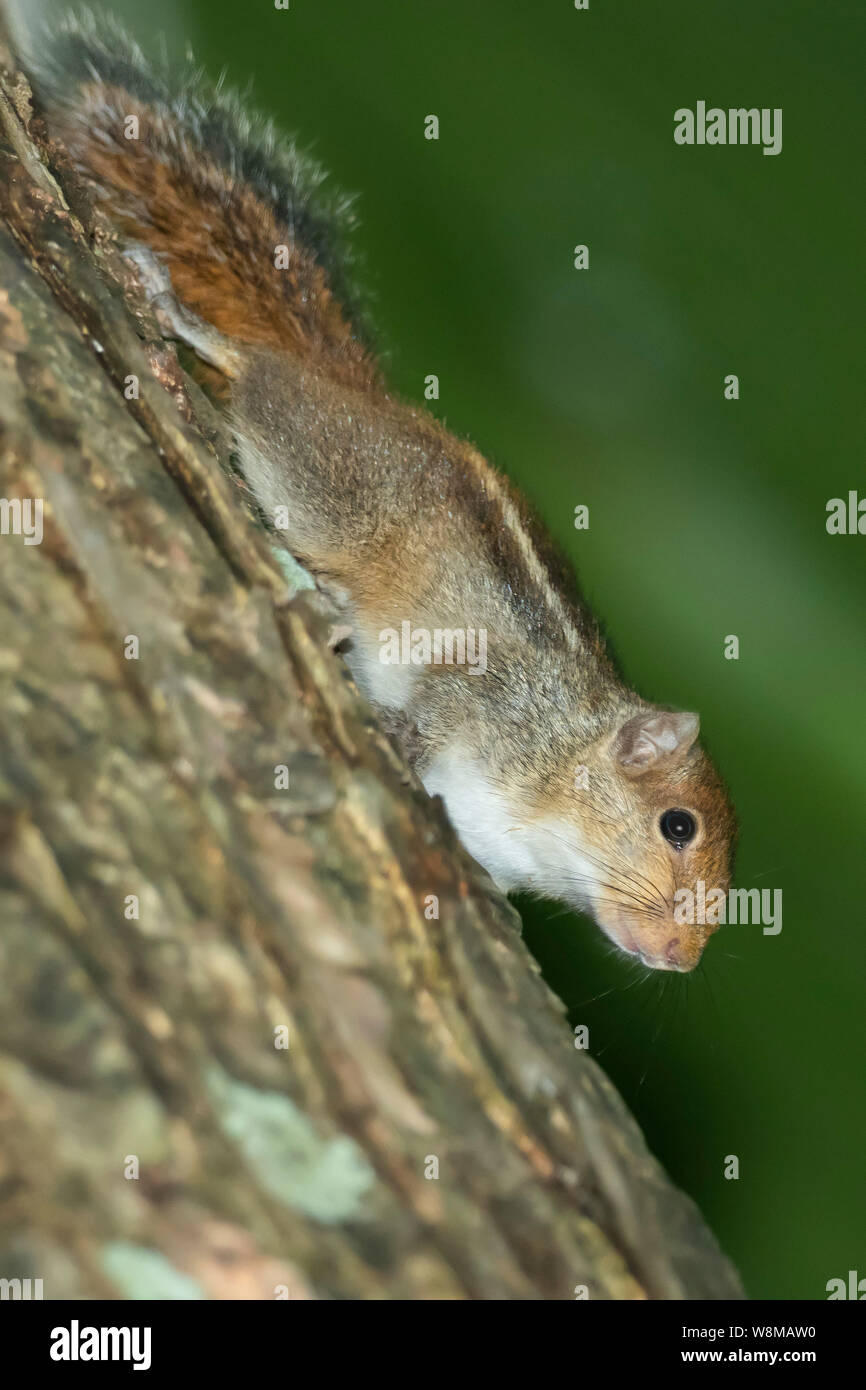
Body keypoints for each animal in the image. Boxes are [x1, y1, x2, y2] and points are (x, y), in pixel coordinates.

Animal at [27, 10, 736, 973]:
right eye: (676, 825)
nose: (681, 959)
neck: (560, 774)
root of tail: (356, 389)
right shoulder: (490, 696)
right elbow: (436, 706)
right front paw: (397, 733)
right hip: (318, 463)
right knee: (255, 371)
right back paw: (178, 312)